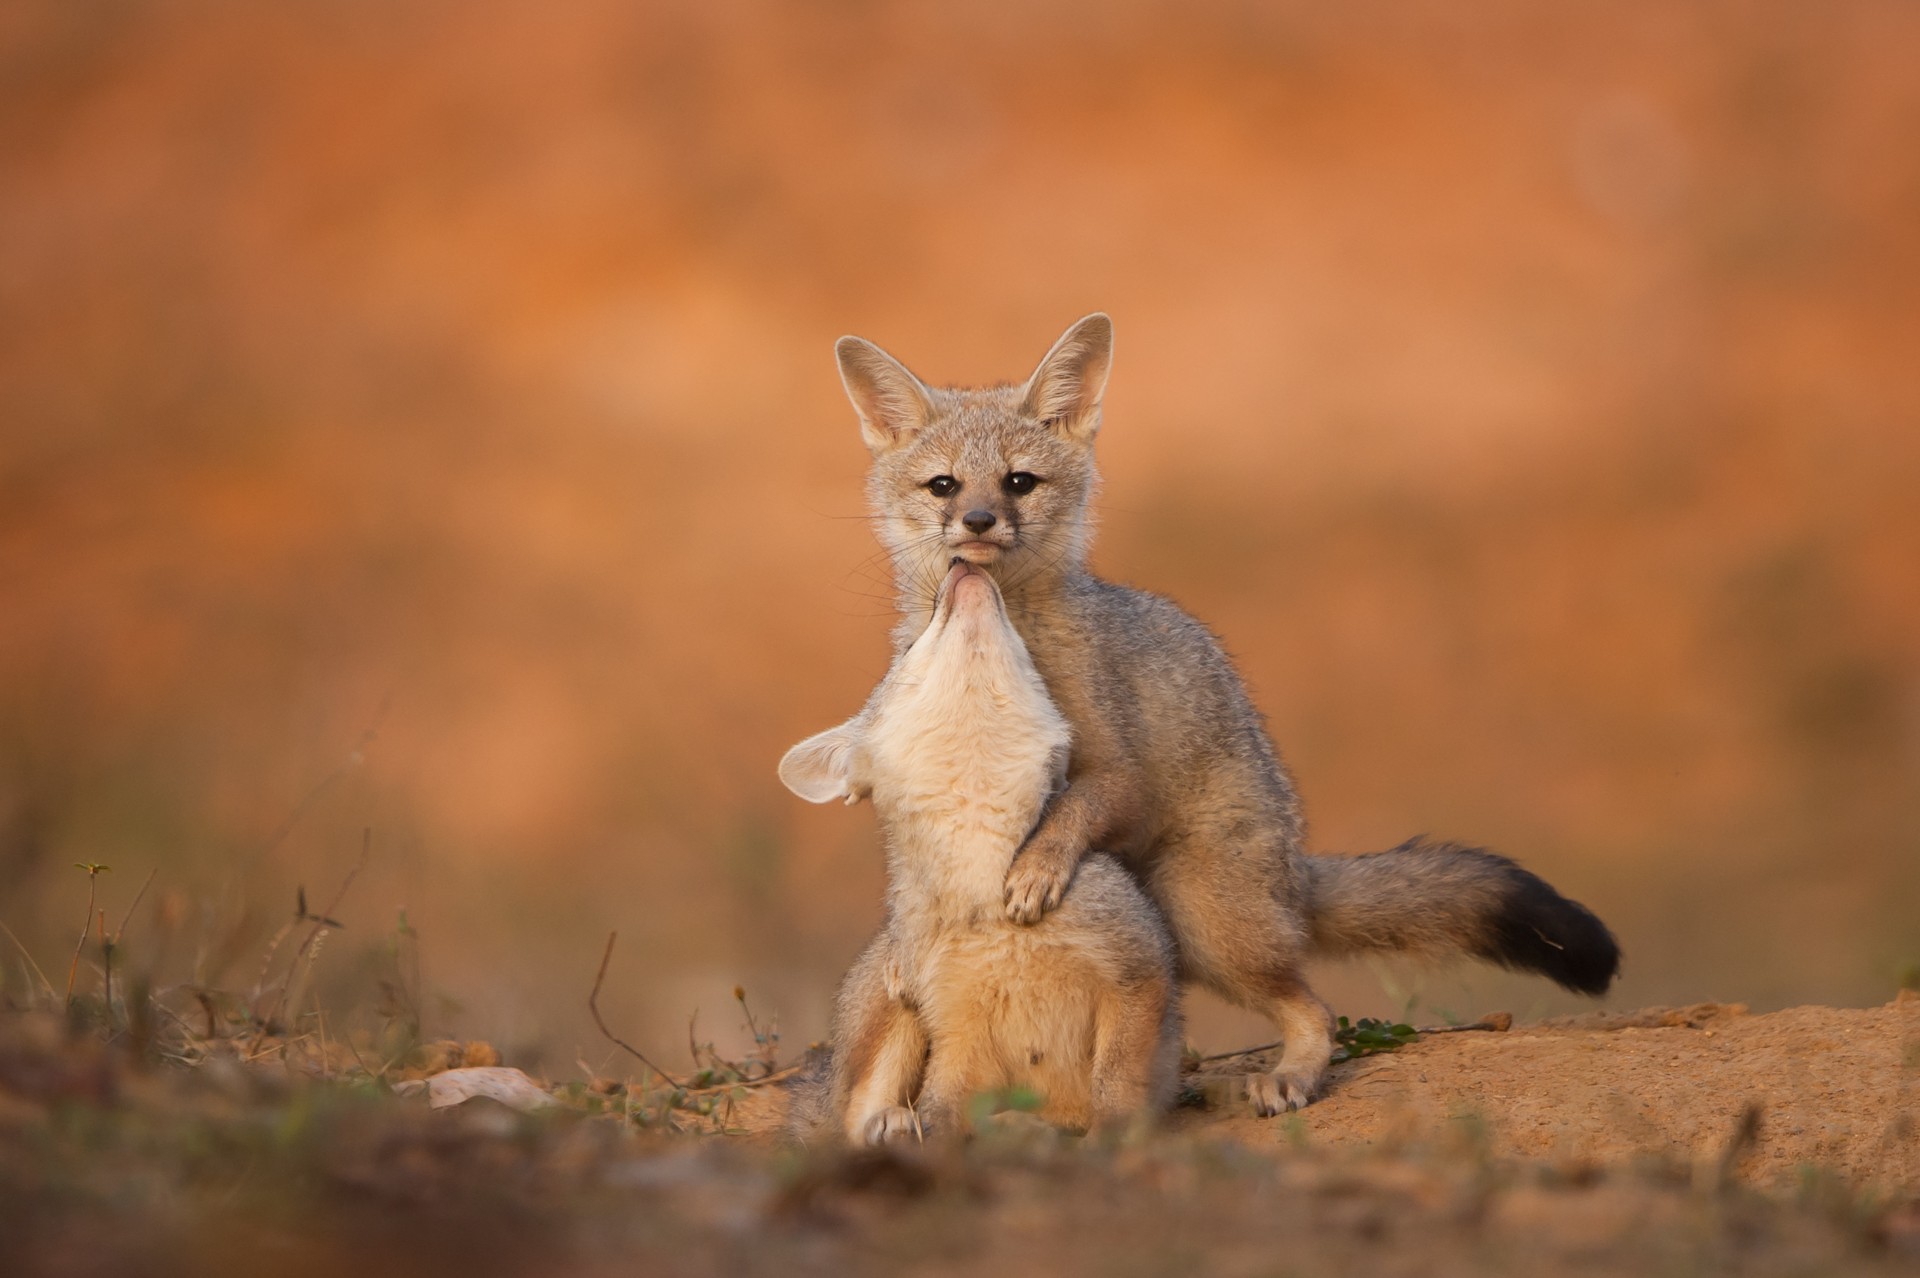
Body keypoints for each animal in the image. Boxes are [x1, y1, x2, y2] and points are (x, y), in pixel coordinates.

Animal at [779, 559, 1183, 1144]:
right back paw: (894, 1123)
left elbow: (1116, 1086)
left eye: (1025, 649)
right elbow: (942, 1109)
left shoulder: (1137, 970)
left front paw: (1113, 1139)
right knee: (852, 1115)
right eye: (908, 646)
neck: (983, 876)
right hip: (896, 1010)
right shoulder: (955, 1026)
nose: (962, 564)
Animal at [823, 312, 1622, 1115]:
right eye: (944, 485)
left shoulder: (1118, 770)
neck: (1009, 629)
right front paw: (906, 946)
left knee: (1311, 1007)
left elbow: (1072, 812)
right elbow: (912, 871)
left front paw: (1037, 868)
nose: (980, 521)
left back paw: (1290, 1075)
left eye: (1020, 481)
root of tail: (1293, 865)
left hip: (1206, 924)